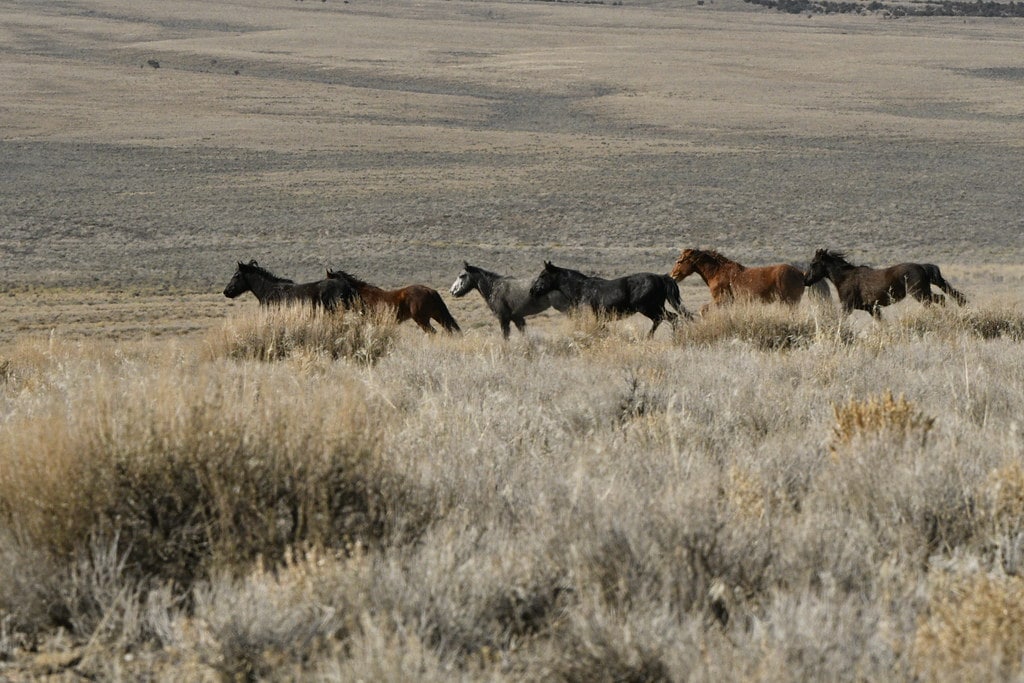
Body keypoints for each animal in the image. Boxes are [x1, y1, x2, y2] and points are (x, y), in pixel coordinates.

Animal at [528, 261, 691, 337]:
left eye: (543, 275)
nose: (532, 291)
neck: (580, 288)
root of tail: (661, 278)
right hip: (656, 307)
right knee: (671, 317)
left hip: (648, 307)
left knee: (666, 318)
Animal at [670, 248, 829, 313]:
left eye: (680, 261)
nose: (673, 275)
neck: (718, 272)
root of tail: (801, 274)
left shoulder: (722, 299)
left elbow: (703, 309)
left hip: (790, 301)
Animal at [803, 249, 967, 319]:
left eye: (813, 263)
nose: (806, 281)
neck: (845, 277)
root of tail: (922, 267)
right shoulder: (872, 308)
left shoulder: (847, 307)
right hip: (924, 292)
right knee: (942, 299)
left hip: (920, 293)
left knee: (938, 300)